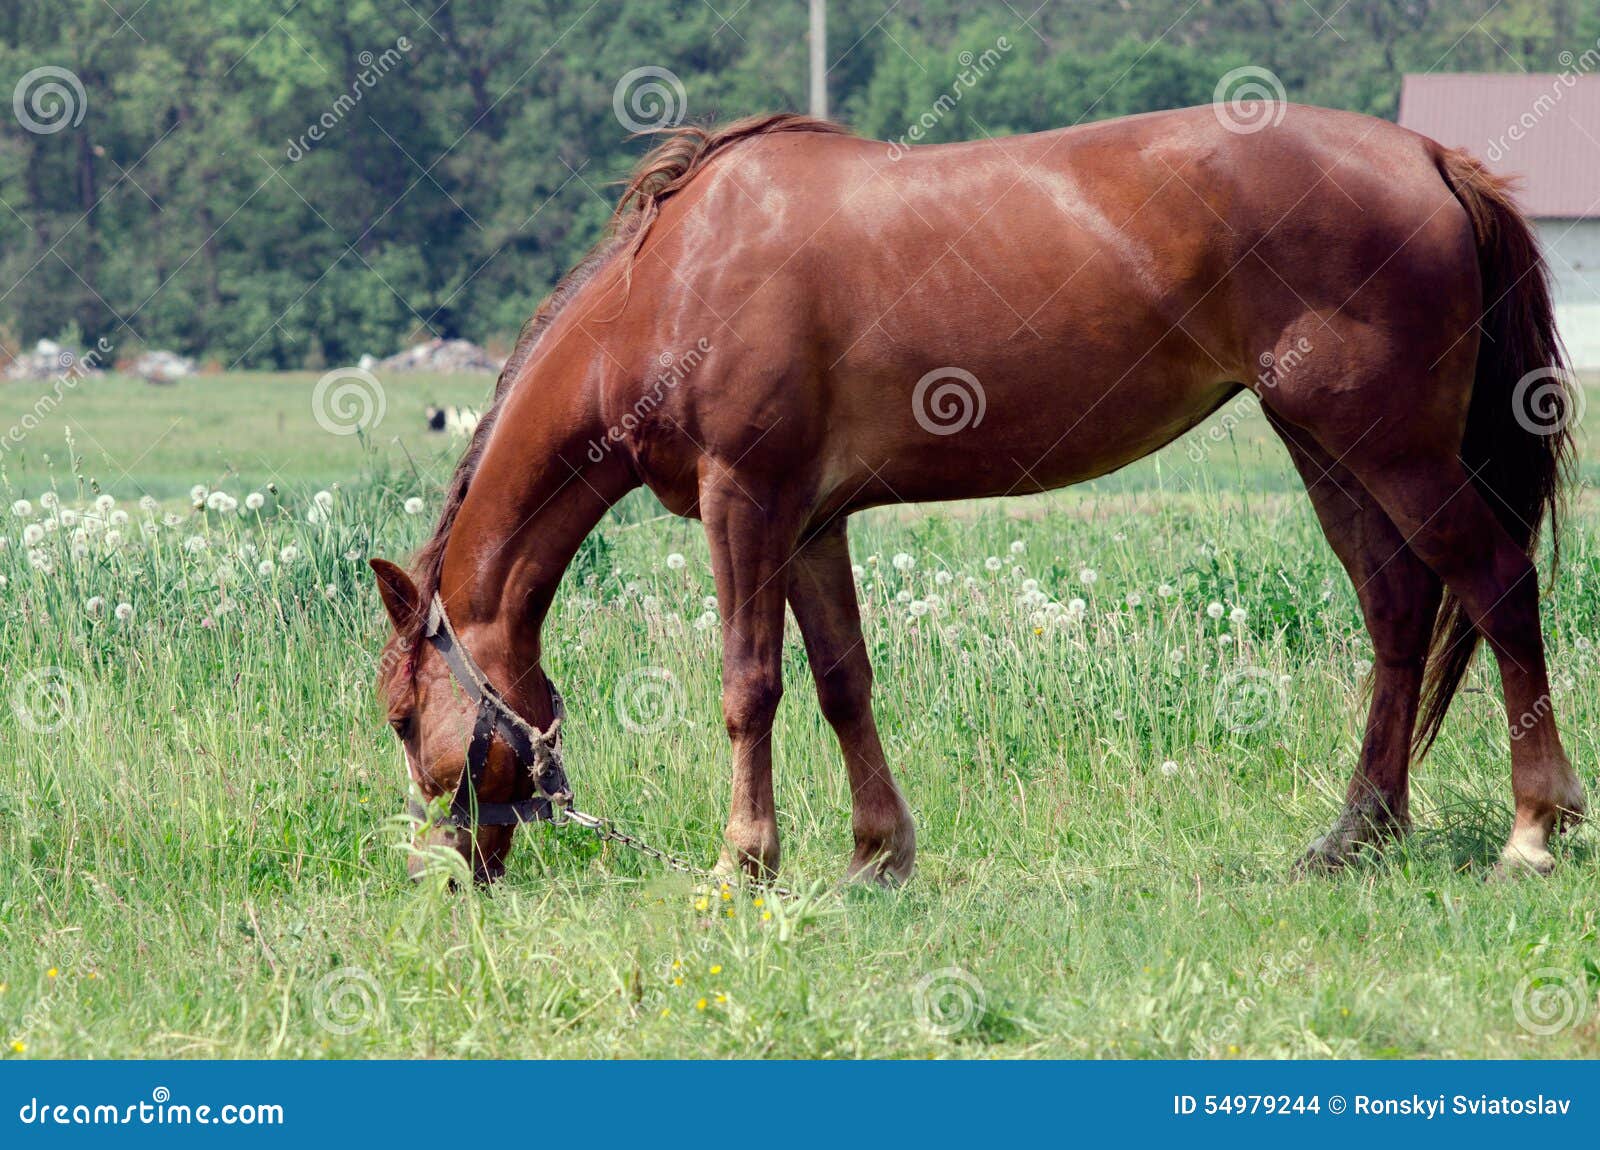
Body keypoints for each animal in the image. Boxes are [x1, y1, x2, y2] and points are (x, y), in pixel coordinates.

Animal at [369, 106, 1584, 886]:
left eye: (401, 717)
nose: (451, 871)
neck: (674, 279)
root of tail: (1432, 157)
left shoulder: (744, 502)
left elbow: (750, 686)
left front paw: (743, 860)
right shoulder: (810, 522)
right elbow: (842, 682)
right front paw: (876, 854)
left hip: (1393, 449)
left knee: (1495, 585)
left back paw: (1534, 826)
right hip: (1328, 447)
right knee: (1397, 609)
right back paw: (1358, 836)